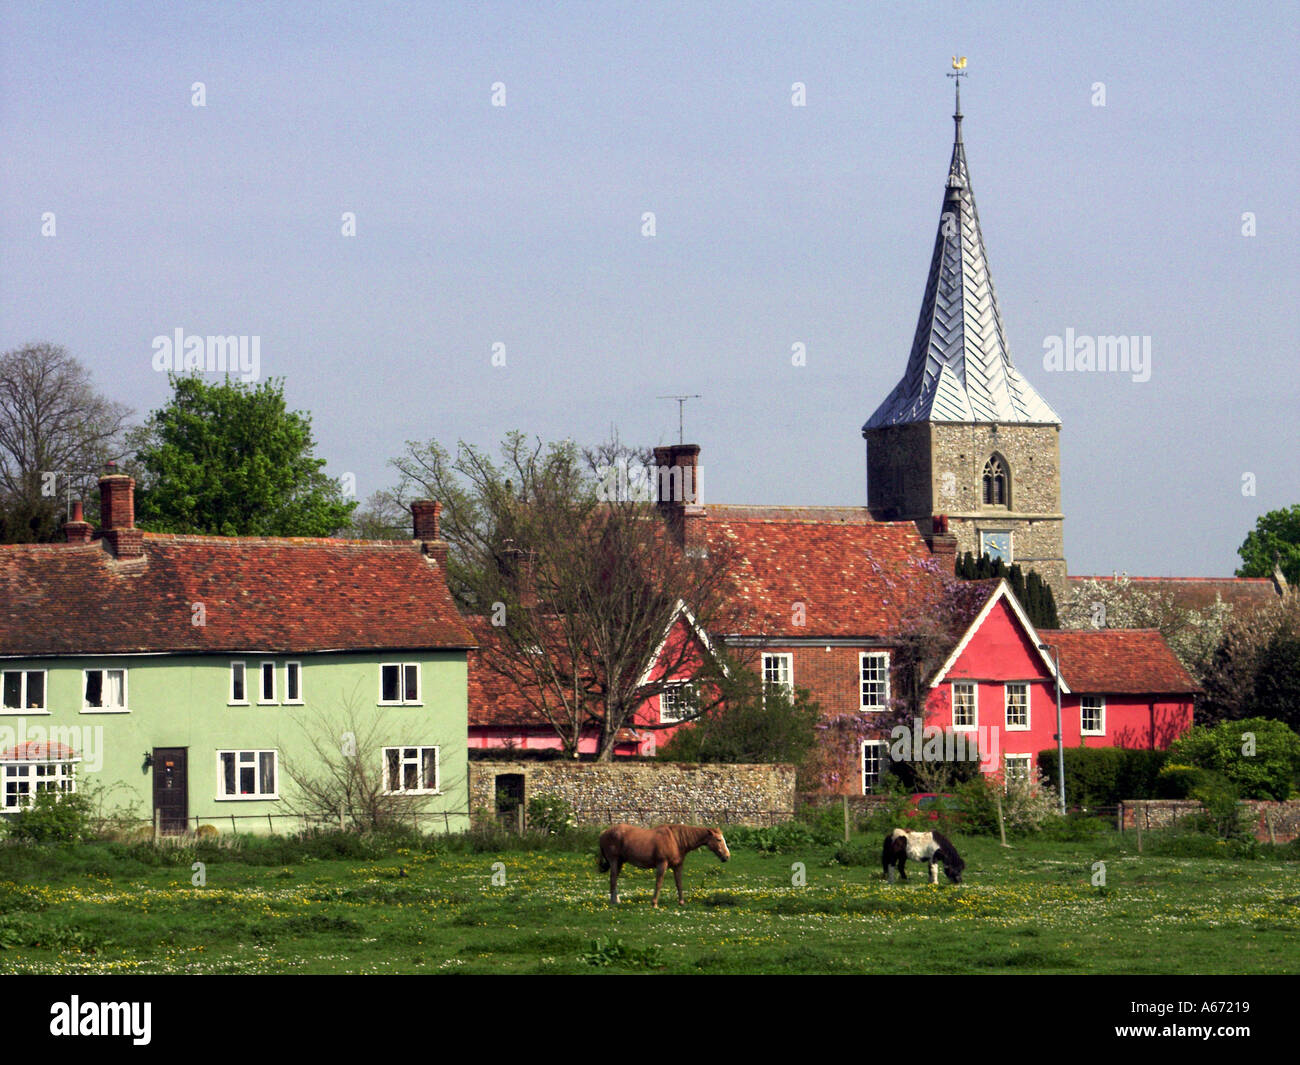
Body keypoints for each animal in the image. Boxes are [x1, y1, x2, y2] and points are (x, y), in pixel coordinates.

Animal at [597, 824, 730, 907]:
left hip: (620, 862)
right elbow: (659, 883)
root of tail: (604, 833)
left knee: (614, 879)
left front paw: (681, 903)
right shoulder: (662, 864)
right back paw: (614, 902)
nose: (727, 856)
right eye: (719, 840)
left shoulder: (677, 866)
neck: (676, 840)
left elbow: (679, 884)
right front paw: (654, 903)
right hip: (614, 861)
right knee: (613, 879)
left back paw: (616, 900)